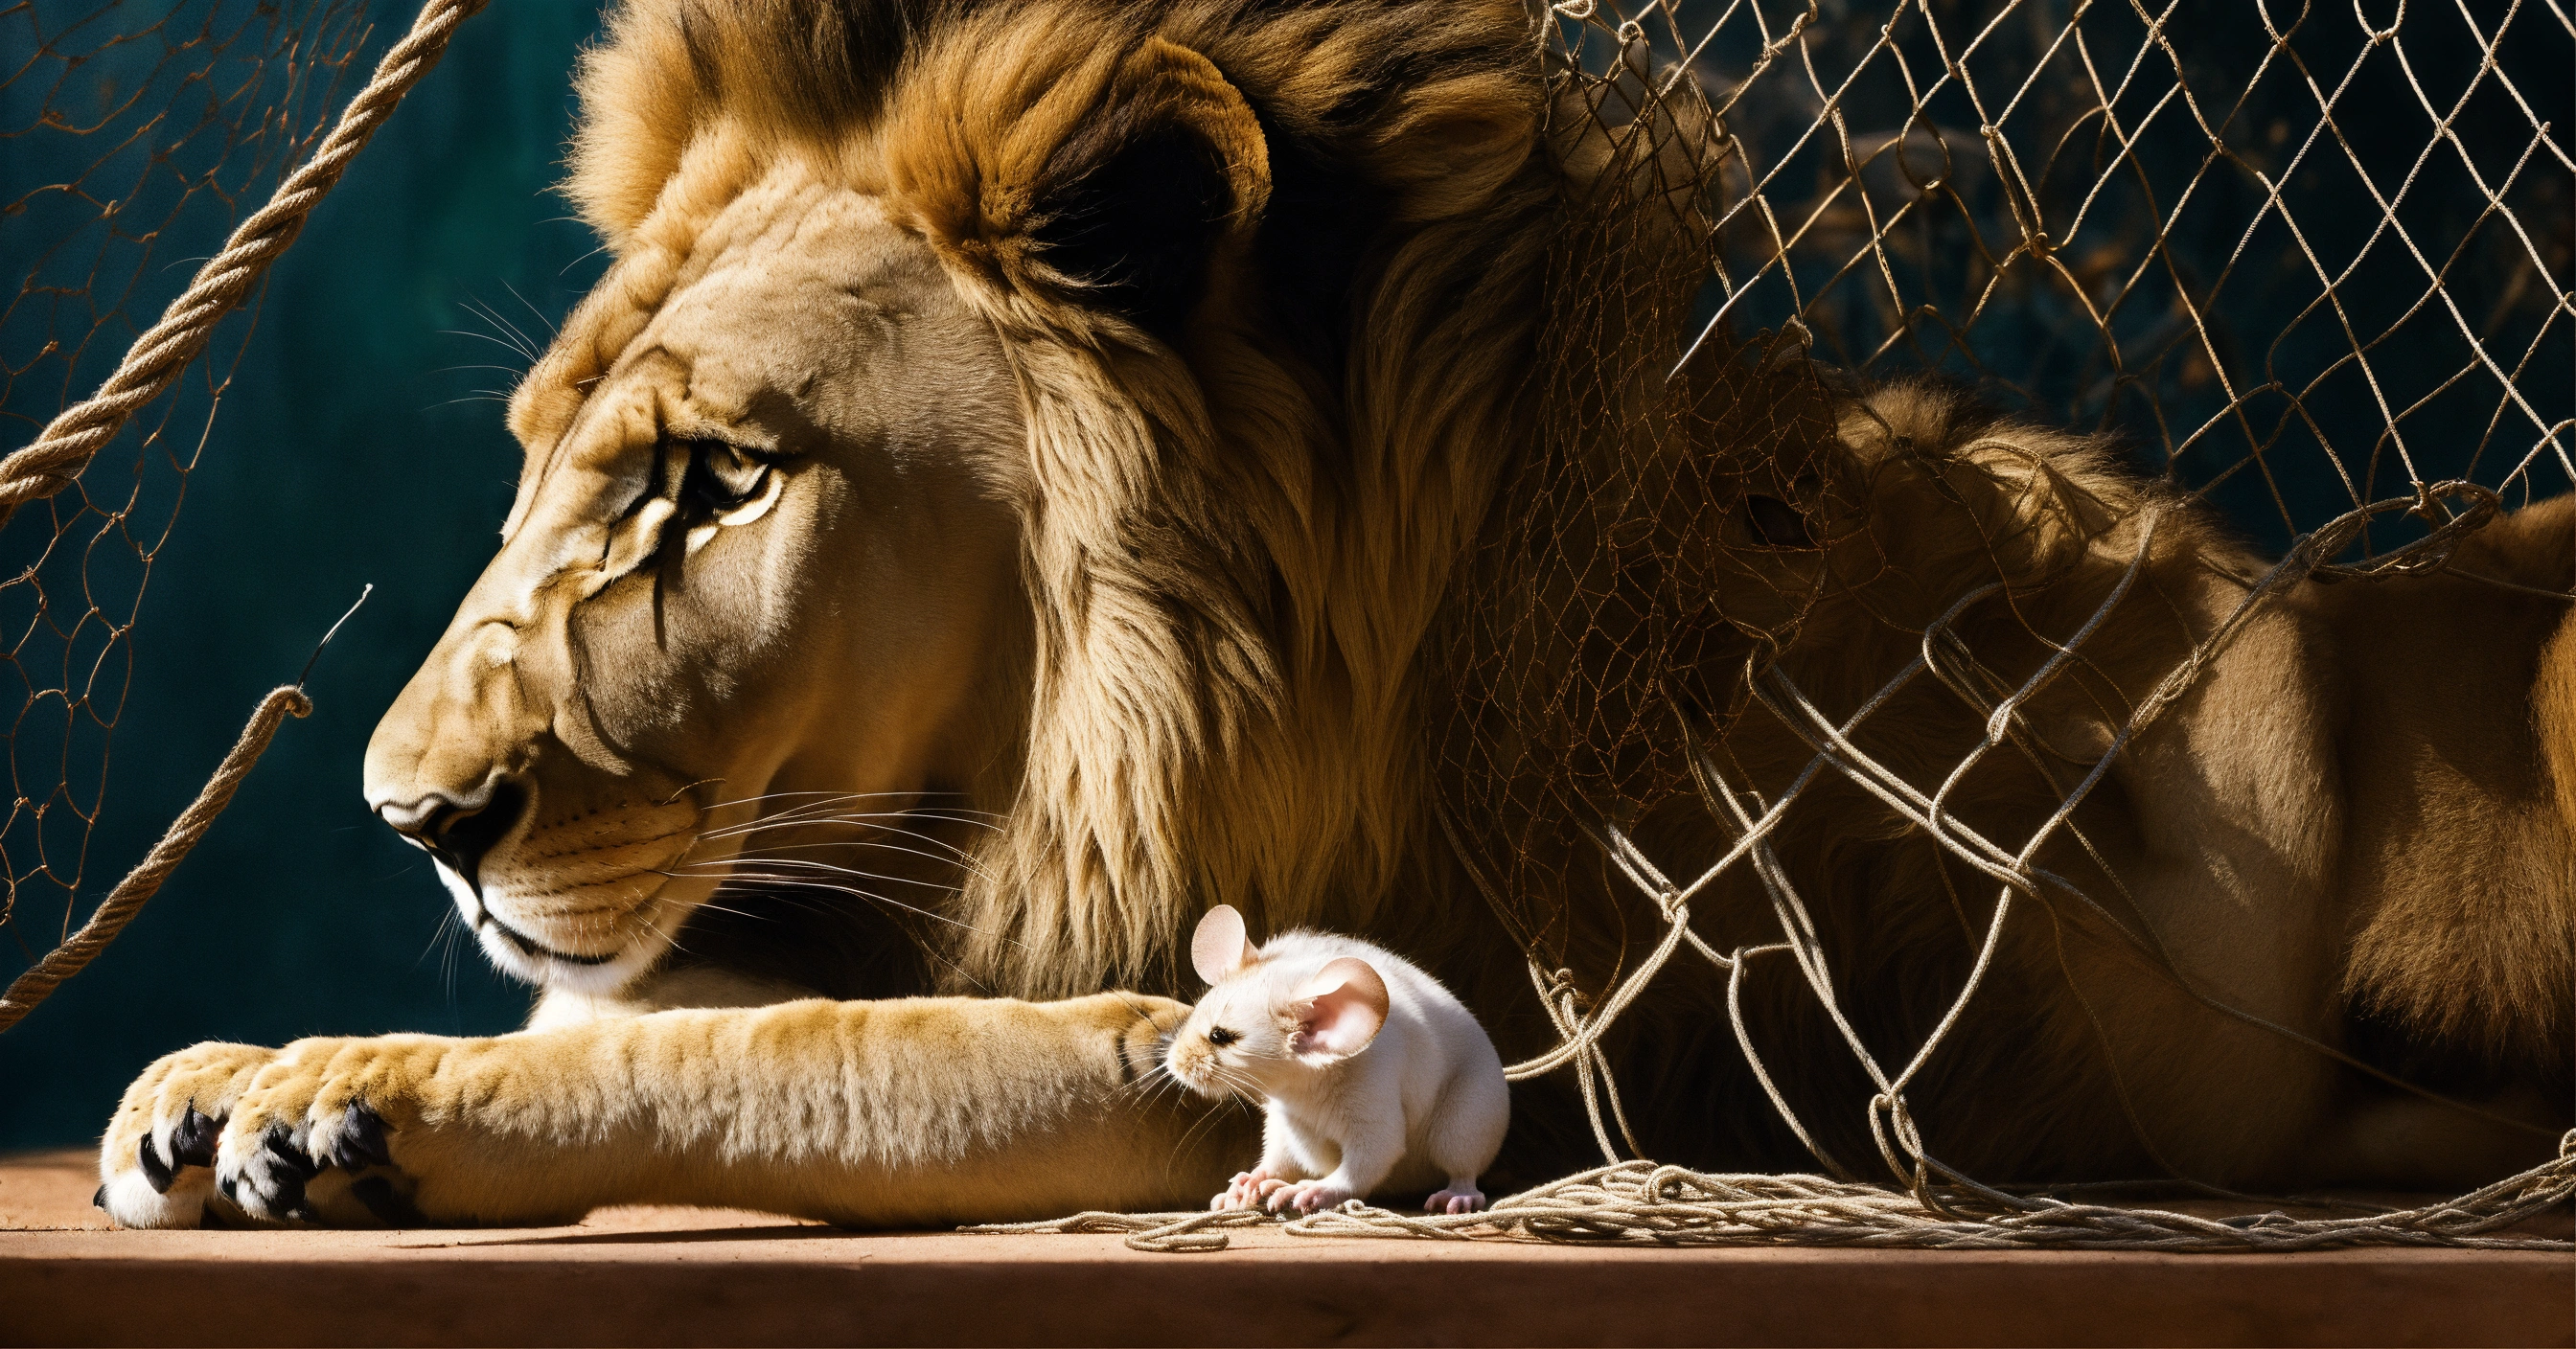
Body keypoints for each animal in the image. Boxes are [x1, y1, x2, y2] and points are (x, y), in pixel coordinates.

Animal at [95, 0, 2569, 1229]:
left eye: (722, 477)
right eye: (539, 455)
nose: (411, 821)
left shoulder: (1303, 1030)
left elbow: (774, 1051)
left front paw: (342, 1096)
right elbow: (705, 1006)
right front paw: (217, 1078)